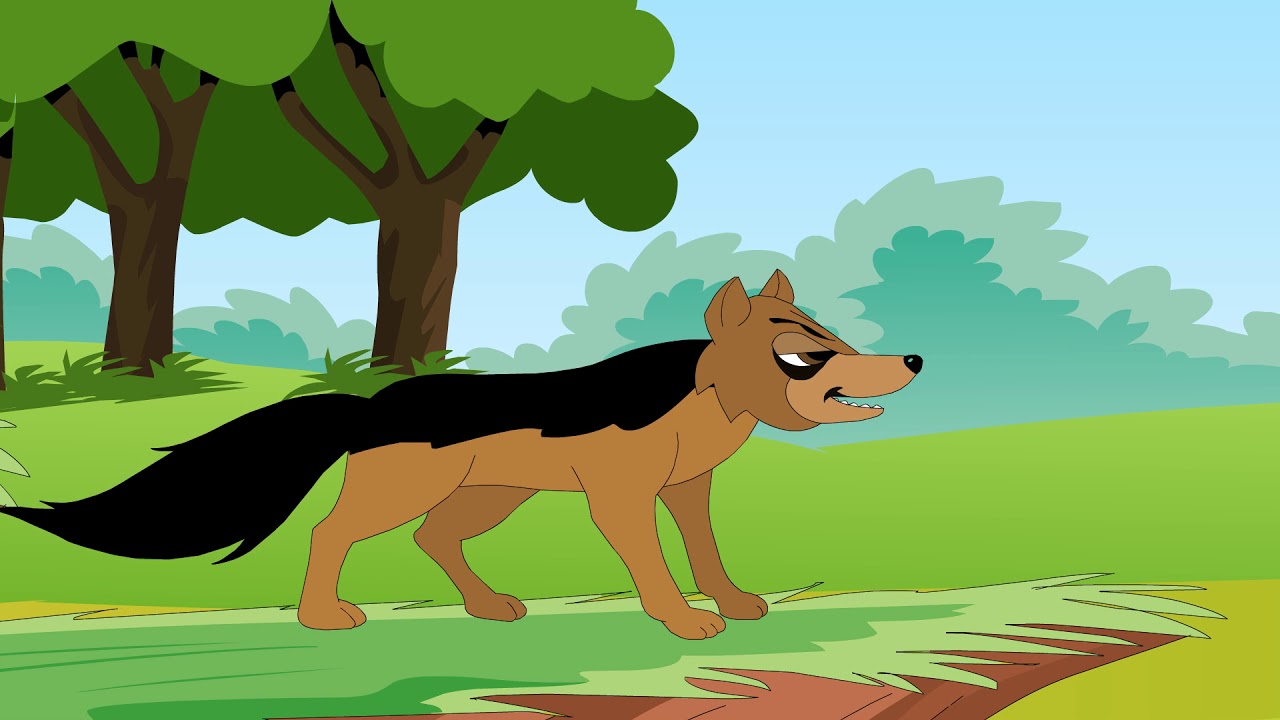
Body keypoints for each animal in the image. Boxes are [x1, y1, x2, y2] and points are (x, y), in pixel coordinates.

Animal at [1, 270, 922, 639]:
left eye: (836, 339)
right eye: (802, 355)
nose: (913, 358)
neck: (700, 401)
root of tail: (371, 402)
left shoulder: (686, 488)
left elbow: (705, 548)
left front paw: (732, 602)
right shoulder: (621, 498)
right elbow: (652, 559)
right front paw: (688, 619)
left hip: (489, 497)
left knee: (433, 540)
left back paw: (489, 607)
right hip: (406, 491)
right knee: (334, 533)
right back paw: (325, 617)